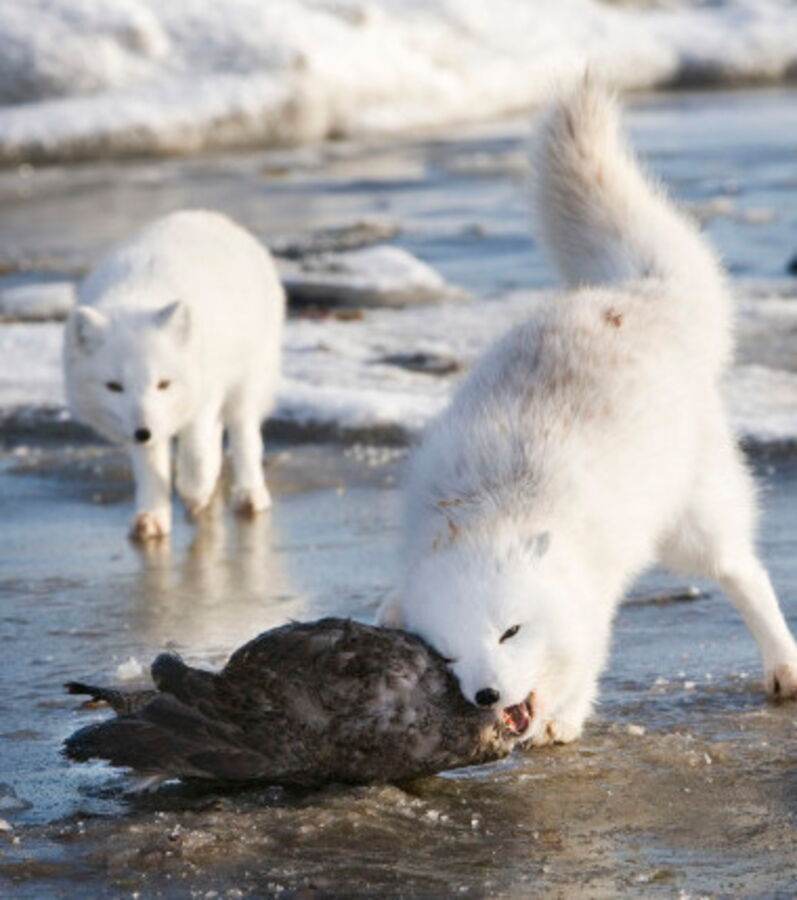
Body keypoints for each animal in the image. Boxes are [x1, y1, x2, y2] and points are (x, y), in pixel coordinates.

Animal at [63, 210, 285, 541]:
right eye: (114, 387)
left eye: (163, 383)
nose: (143, 433)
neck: (137, 296)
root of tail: (208, 215)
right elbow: (151, 472)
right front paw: (152, 516)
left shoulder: (204, 396)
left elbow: (196, 454)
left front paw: (195, 491)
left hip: (243, 383)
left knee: (244, 434)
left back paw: (248, 494)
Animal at [380, 79, 797, 744]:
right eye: (447, 654)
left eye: (511, 631)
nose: (487, 693)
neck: (490, 511)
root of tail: (632, 296)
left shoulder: (592, 595)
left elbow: (585, 658)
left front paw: (564, 719)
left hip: (693, 523)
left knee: (744, 572)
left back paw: (783, 664)